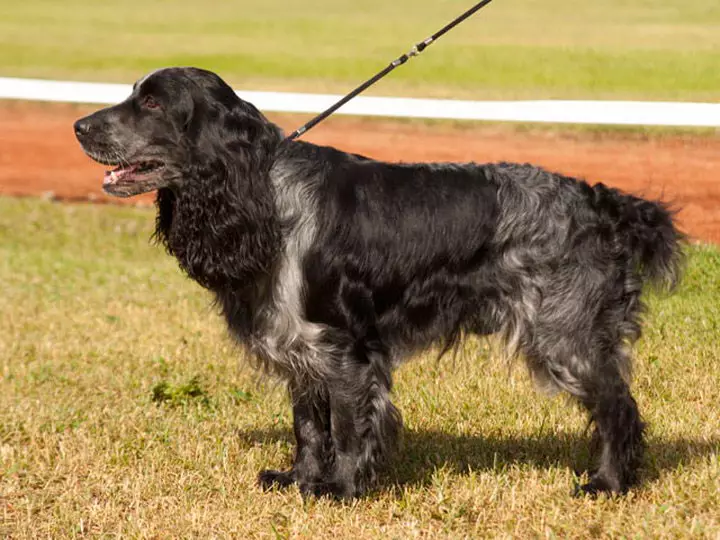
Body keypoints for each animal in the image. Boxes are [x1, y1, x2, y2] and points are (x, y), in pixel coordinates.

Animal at [76, 68, 684, 502]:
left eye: (152, 103)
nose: (79, 126)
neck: (262, 194)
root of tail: (600, 201)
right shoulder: (302, 347)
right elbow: (309, 427)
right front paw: (300, 480)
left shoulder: (347, 348)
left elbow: (348, 428)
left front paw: (342, 490)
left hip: (564, 333)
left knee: (618, 408)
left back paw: (608, 484)